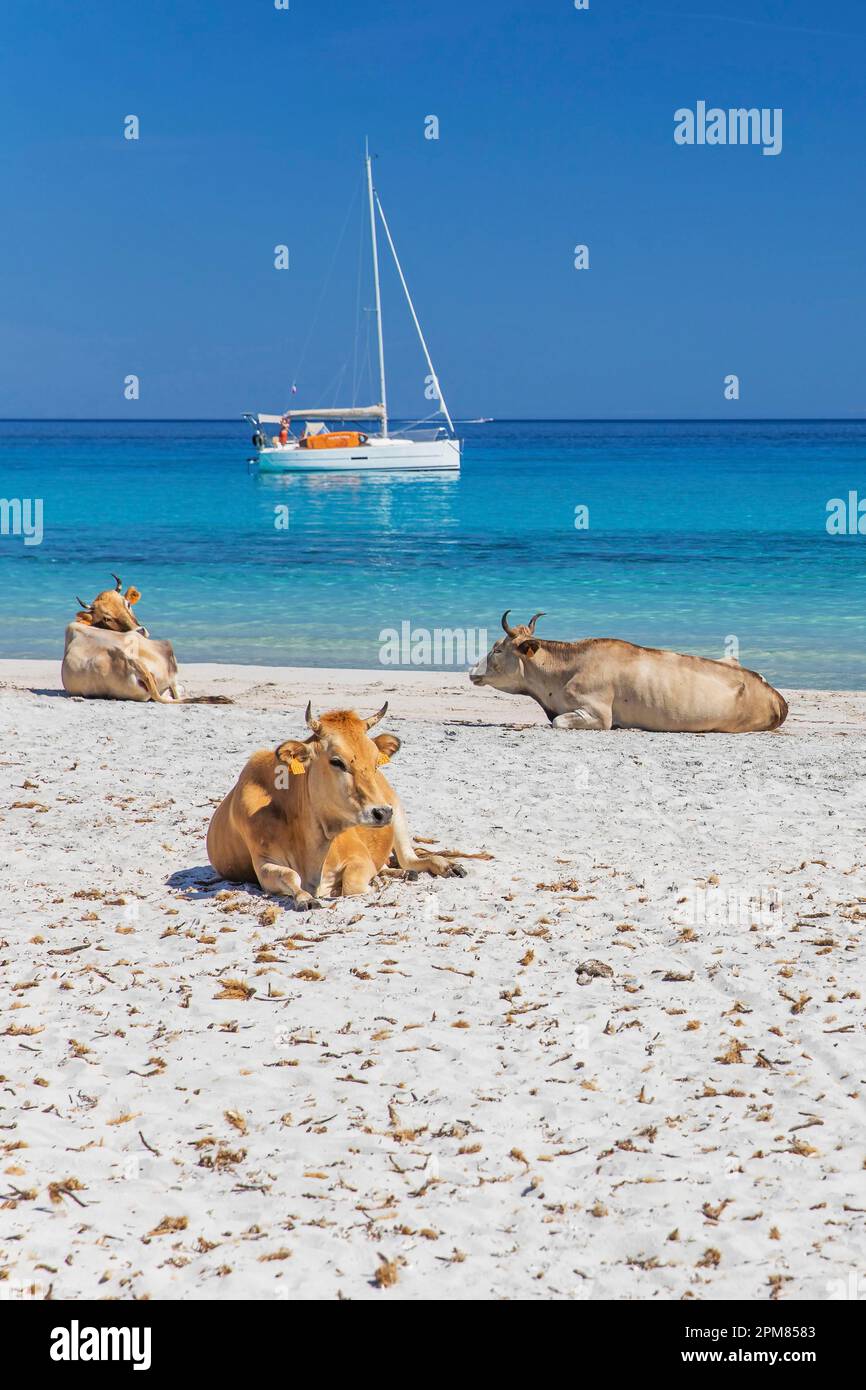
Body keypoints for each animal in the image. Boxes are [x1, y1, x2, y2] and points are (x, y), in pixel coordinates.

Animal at [206, 703, 467, 909]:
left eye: (375, 761)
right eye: (336, 761)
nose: (381, 812)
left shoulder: (359, 856)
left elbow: (351, 885)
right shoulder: (263, 864)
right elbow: (290, 876)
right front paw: (305, 898)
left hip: (399, 814)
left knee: (411, 858)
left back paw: (444, 866)